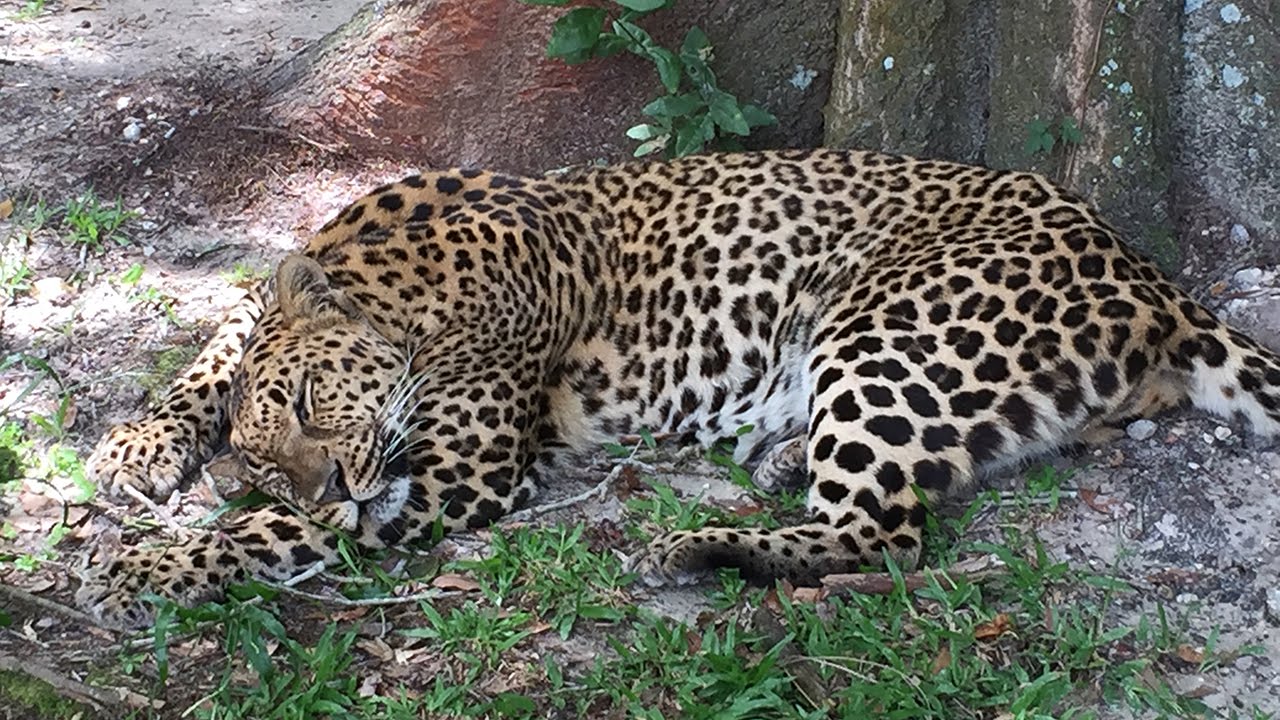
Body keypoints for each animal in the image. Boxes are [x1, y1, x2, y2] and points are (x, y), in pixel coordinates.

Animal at [77, 149, 1280, 627]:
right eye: (271, 453)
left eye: (308, 407)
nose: (325, 486)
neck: (403, 280)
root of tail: (1141, 267)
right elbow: (219, 341)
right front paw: (141, 446)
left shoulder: (461, 470)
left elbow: (263, 536)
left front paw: (148, 565)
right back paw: (776, 456)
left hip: (883, 330)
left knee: (882, 535)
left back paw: (696, 548)